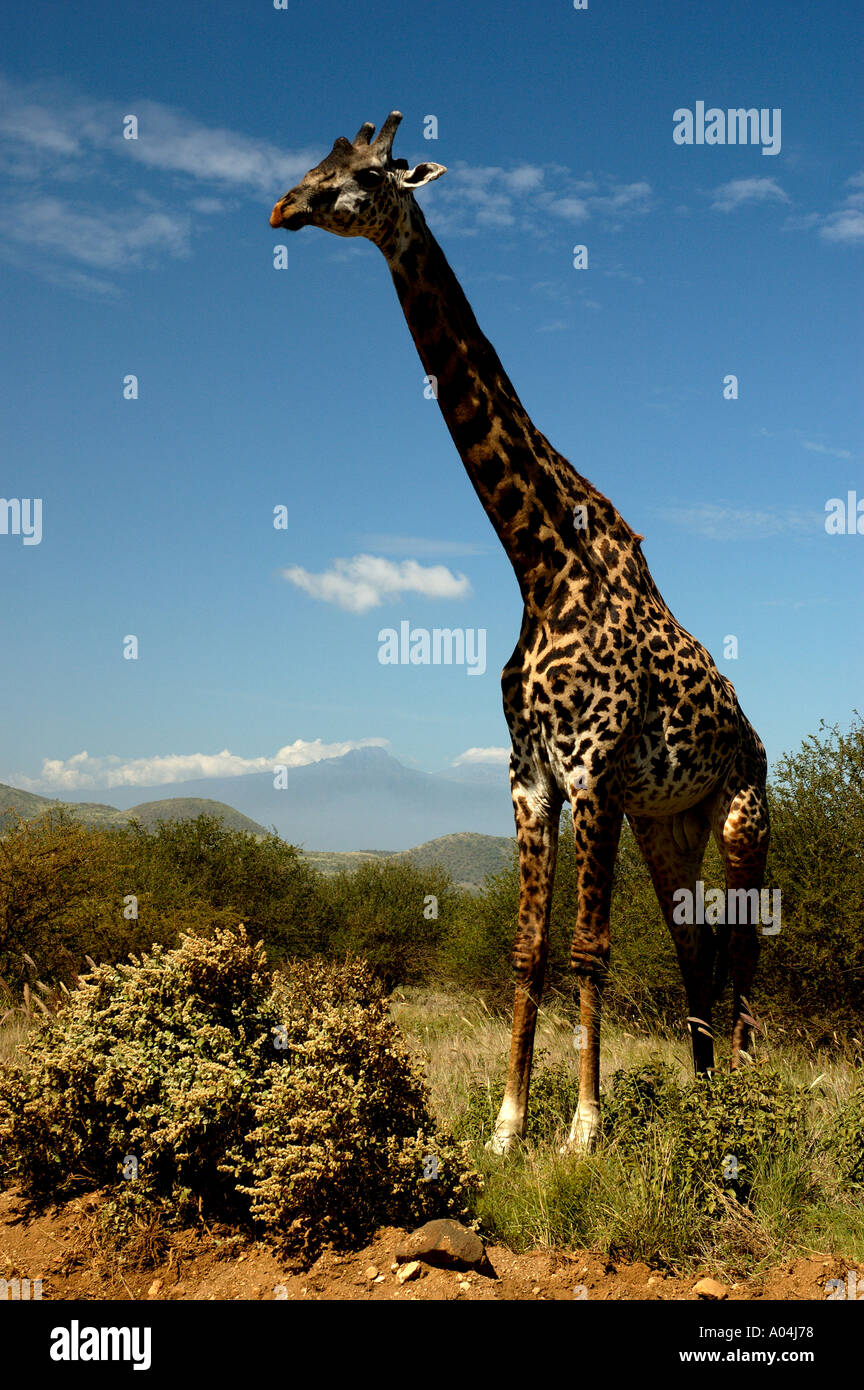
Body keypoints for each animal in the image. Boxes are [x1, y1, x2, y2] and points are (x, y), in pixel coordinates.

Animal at [268, 112, 770, 1153]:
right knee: (697, 945)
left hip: (744, 808)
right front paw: (506, 1128)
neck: (538, 564)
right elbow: (526, 949)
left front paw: (581, 1131)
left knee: (746, 945)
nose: (280, 209)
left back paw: (749, 1093)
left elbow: (588, 948)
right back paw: (704, 1096)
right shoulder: (531, 776)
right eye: (315, 165)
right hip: (671, 825)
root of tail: (754, 732)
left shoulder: (597, 771)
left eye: (363, 178)